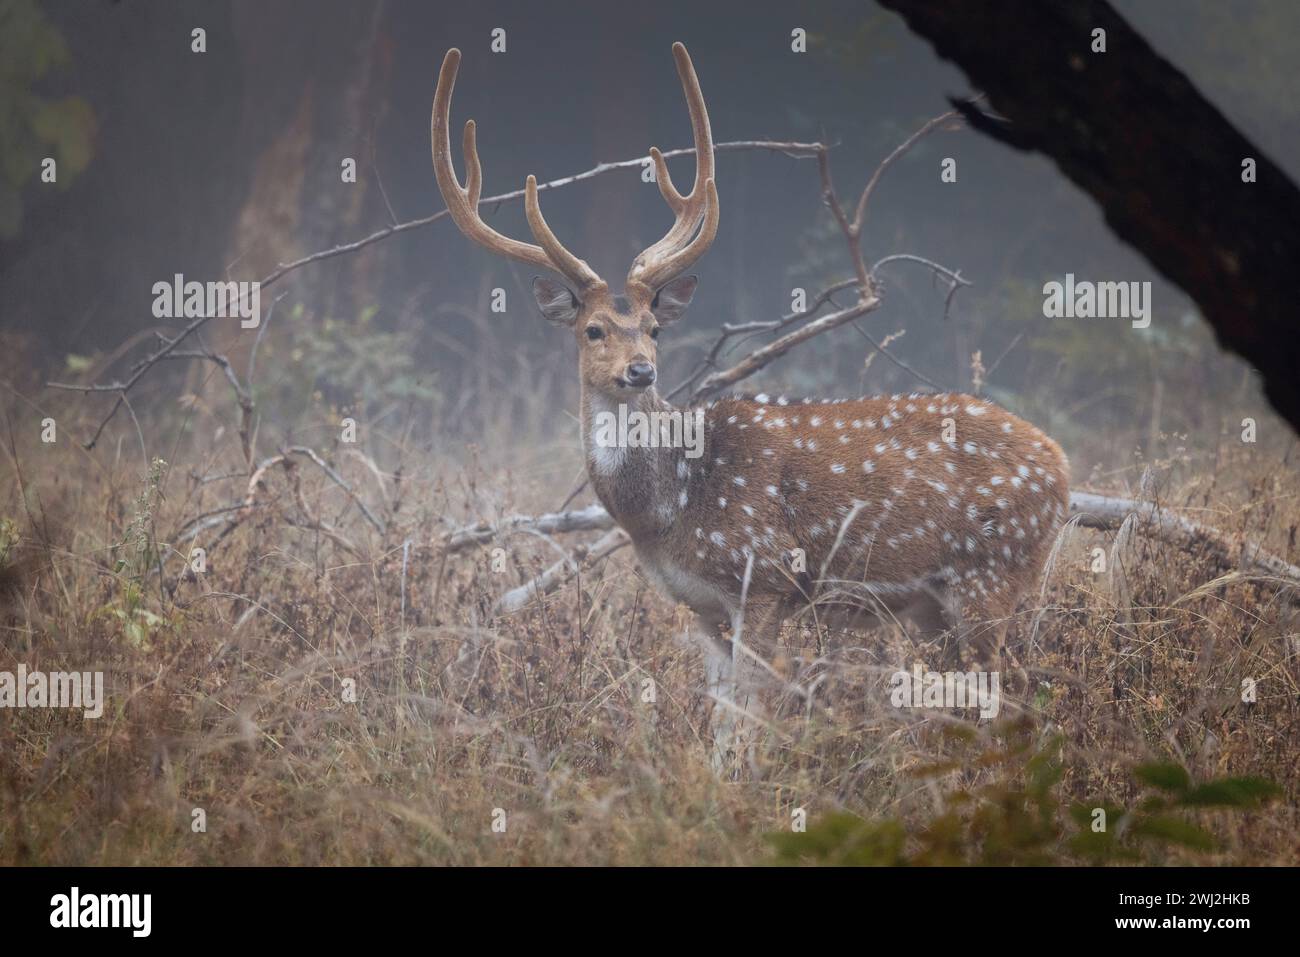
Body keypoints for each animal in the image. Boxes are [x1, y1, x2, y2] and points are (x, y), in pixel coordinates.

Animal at [431, 42, 1071, 765]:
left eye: (653, 328)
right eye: (593, 330)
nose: (640, 371)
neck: (669, 509)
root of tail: (1062, 465)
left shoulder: (764, 579)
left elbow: (752, 722)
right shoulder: (703, 607)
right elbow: (721, 724)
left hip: (993, 576)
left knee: (1015, 699)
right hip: (941, 604)